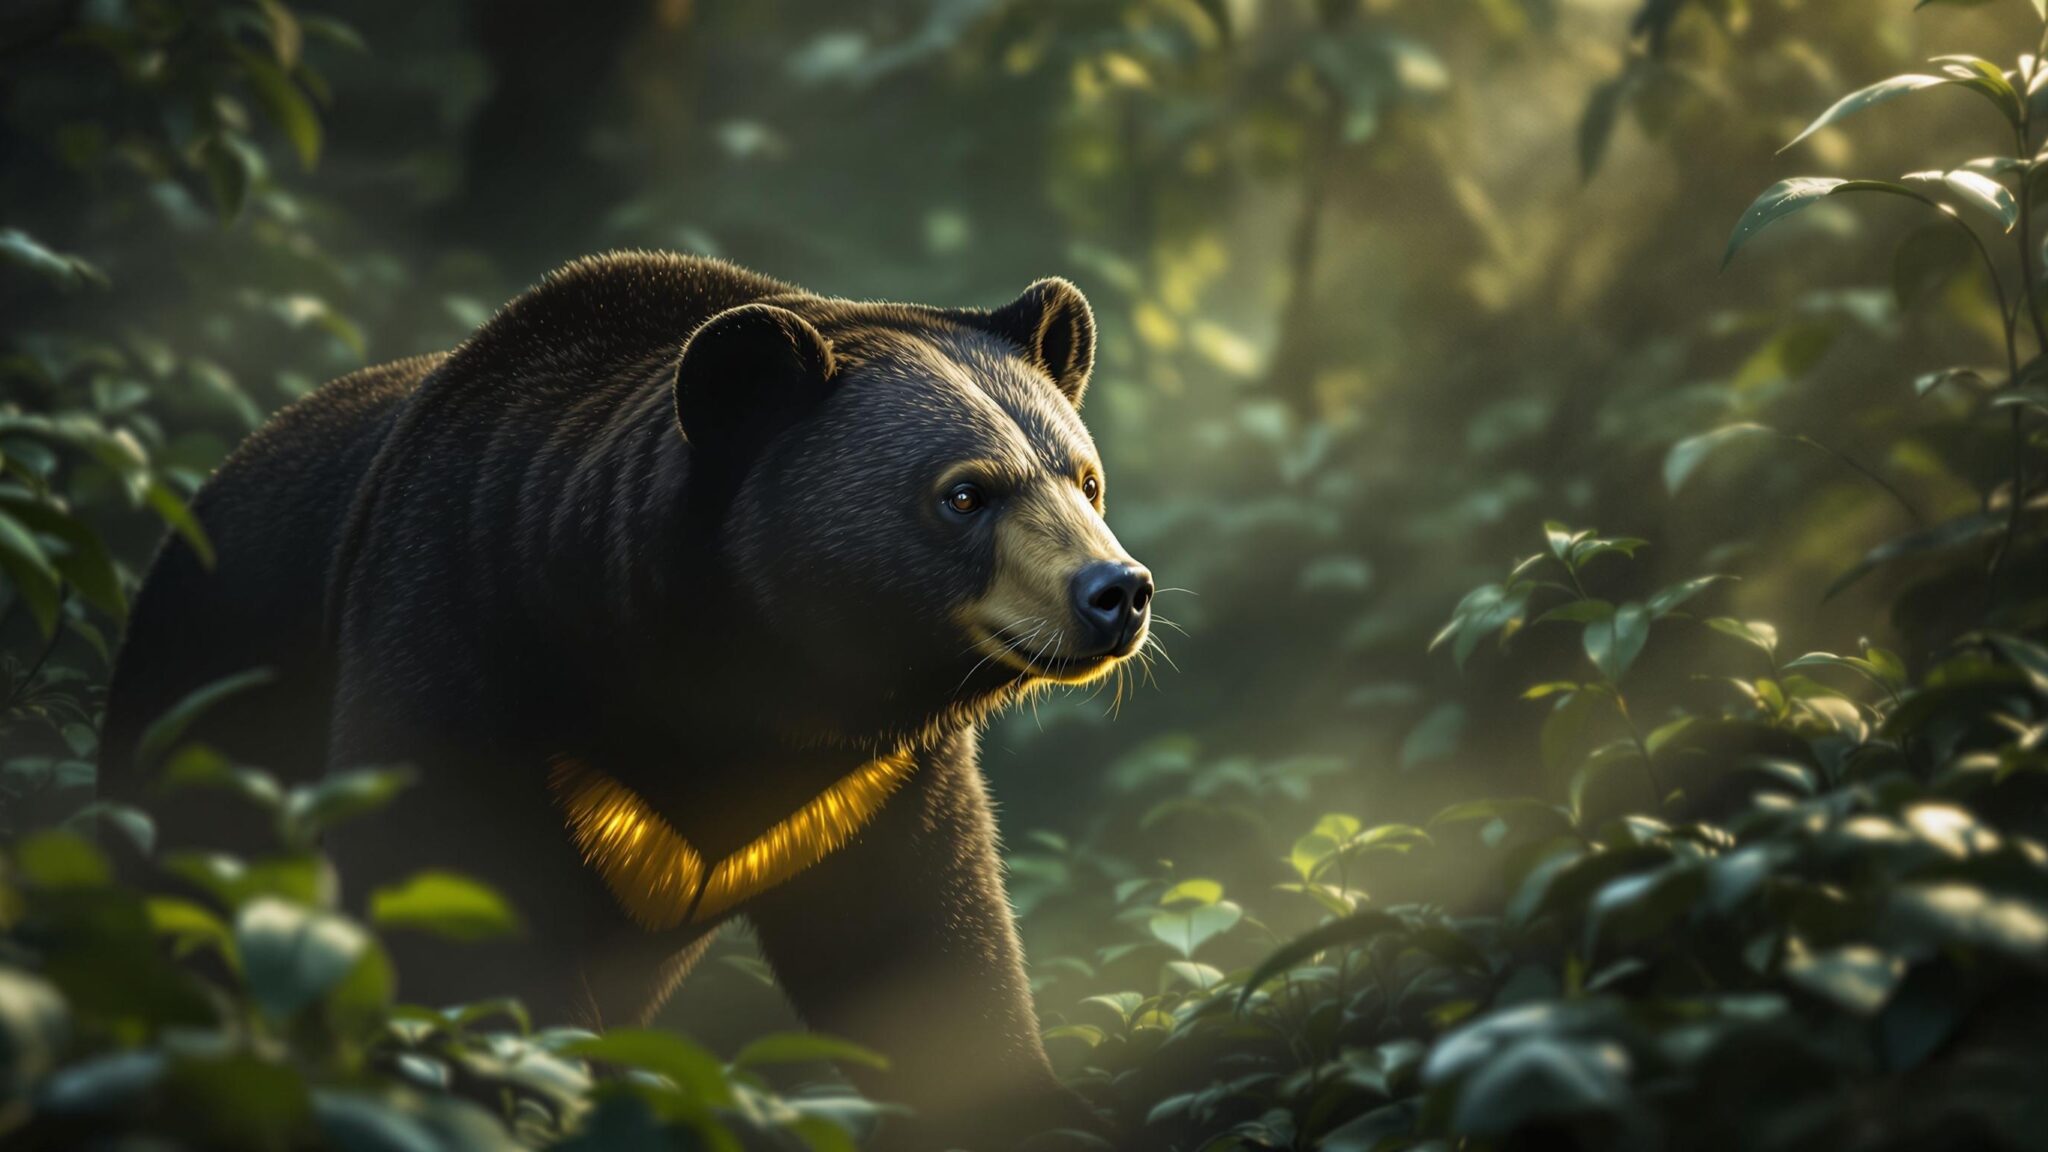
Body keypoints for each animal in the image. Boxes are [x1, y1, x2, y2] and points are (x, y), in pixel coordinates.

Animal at [97, 252, 1154, 1149]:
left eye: (1084, 477)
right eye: (964, 493)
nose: (1116, 591)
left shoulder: (869, 779)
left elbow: (922, 941)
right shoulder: (461, 642)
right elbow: (444, 896)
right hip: (205, 694)